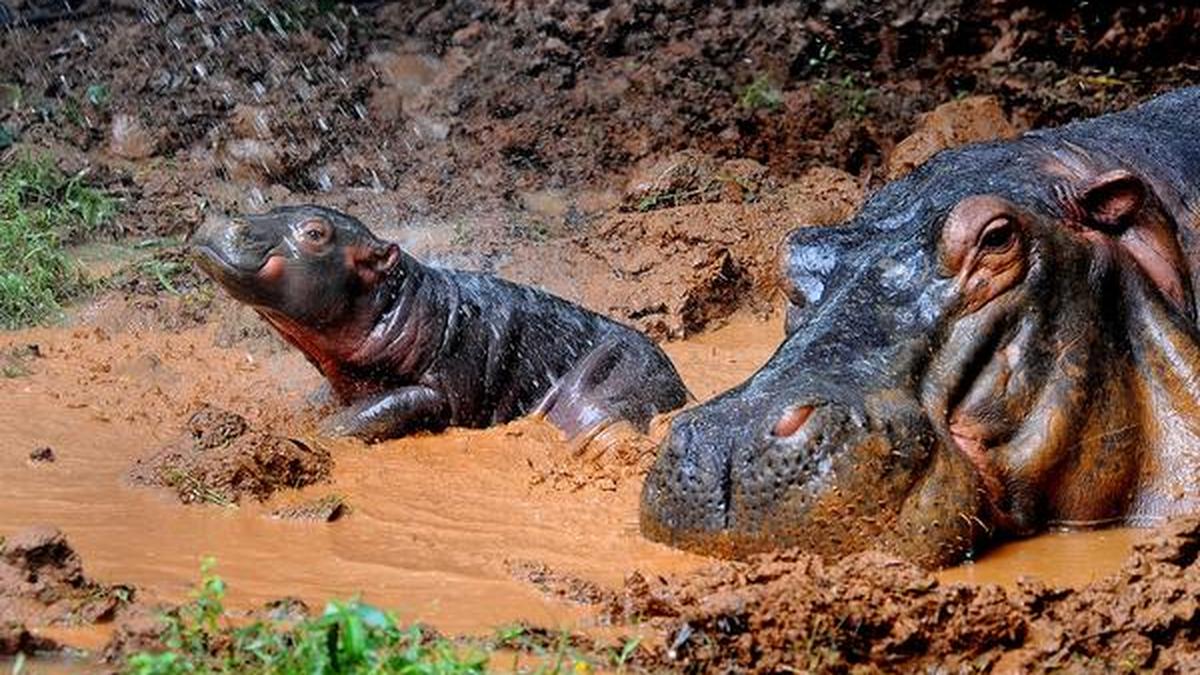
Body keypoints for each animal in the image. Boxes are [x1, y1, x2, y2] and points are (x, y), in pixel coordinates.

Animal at [191, 205, 690, 442]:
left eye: (315, 232)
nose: (220, 215)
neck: (402, 302)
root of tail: (682, 385)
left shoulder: (436, 391)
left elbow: (362, 417)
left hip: (606, 388)